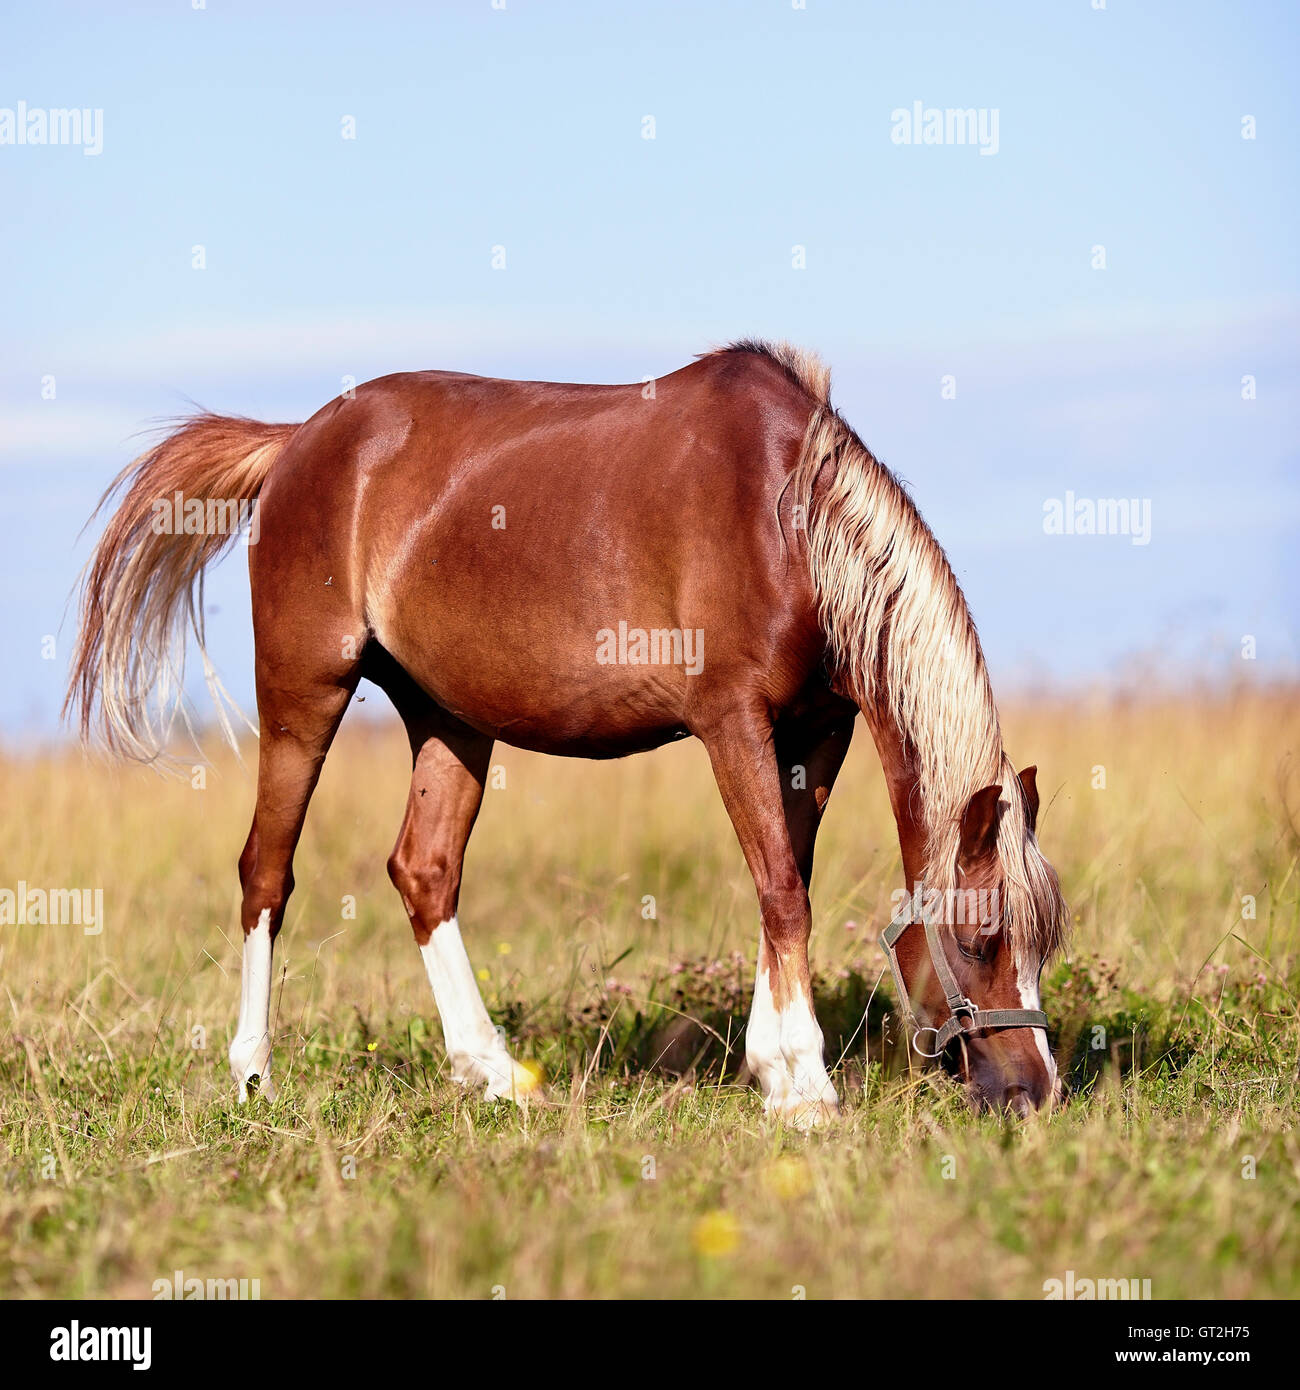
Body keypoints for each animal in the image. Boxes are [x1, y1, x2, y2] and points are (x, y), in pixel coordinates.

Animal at [67, 340, 1069, 1124]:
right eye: (980, 940)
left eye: (1045, 943)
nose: (1036, 1091)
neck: (785, 518)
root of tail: (296, 443)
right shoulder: (731, 721)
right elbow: (784, 891)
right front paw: (805, 1086)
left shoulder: (818, 731)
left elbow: (786, 884)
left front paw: (775, 1069)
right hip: (303, 696)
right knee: (265, 873)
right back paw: (254, 1076)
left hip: (450, 720)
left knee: (423, 871)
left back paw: (492, 1071)